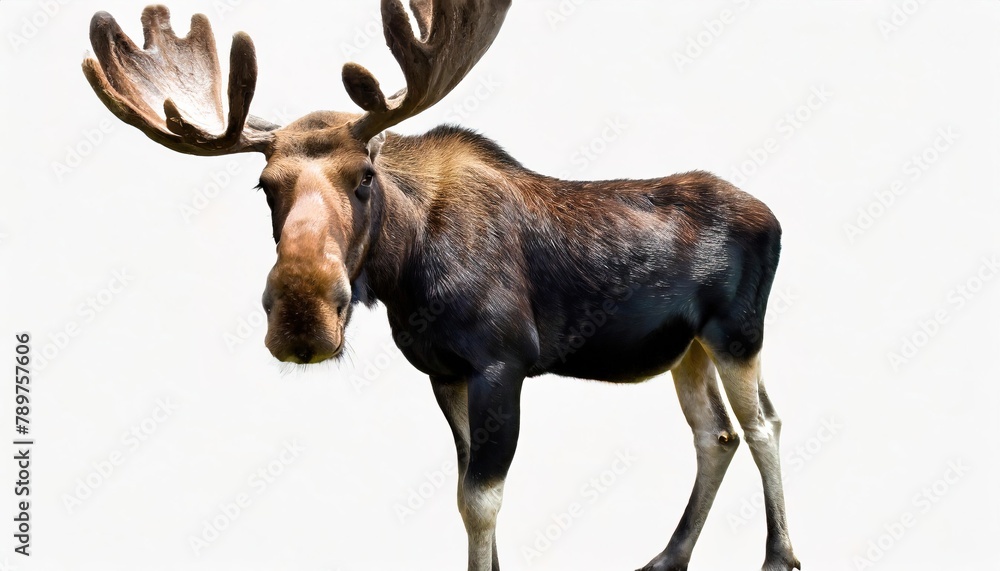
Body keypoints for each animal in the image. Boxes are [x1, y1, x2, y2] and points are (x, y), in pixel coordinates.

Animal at [81, 2, 800, 570]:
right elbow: (461, 494)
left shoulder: (501, 363)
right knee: (716, 433)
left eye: (364, 176)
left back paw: (778, 554)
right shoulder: (443, 372)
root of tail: (773, 215)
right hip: (687, 347)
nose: (302, 318)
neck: (406, 274)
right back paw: (668, 555)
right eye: (264, 186)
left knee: (764, 422)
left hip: (738, 333)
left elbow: (482, 499)